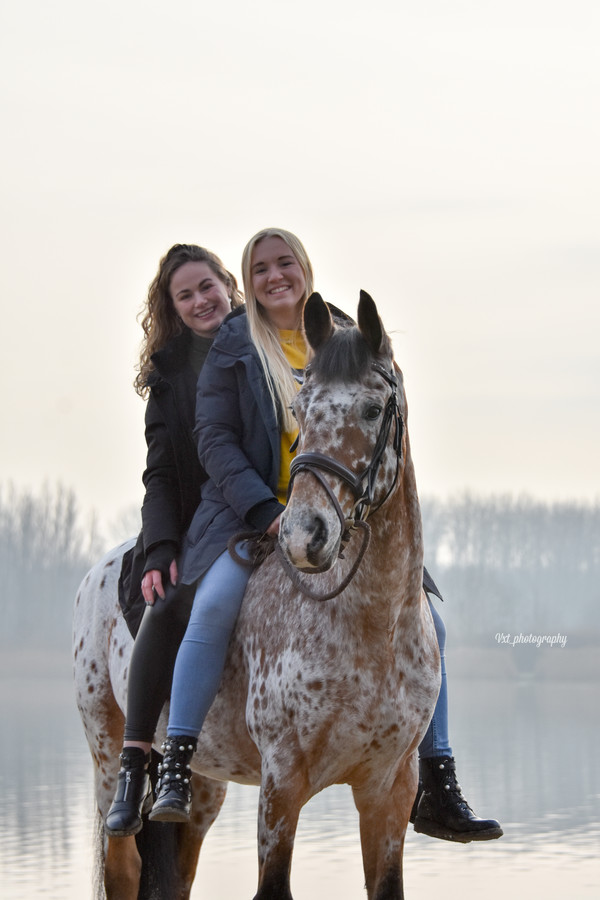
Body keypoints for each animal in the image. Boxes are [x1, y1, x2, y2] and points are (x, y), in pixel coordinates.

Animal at [73, 289, 440, 900]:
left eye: (372, 410)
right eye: (301, 409)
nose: (303, 534)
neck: (372, 630)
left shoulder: (388, 788)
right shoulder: (282, 785)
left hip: (203, 788)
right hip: (107, 756)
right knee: (121, 858)